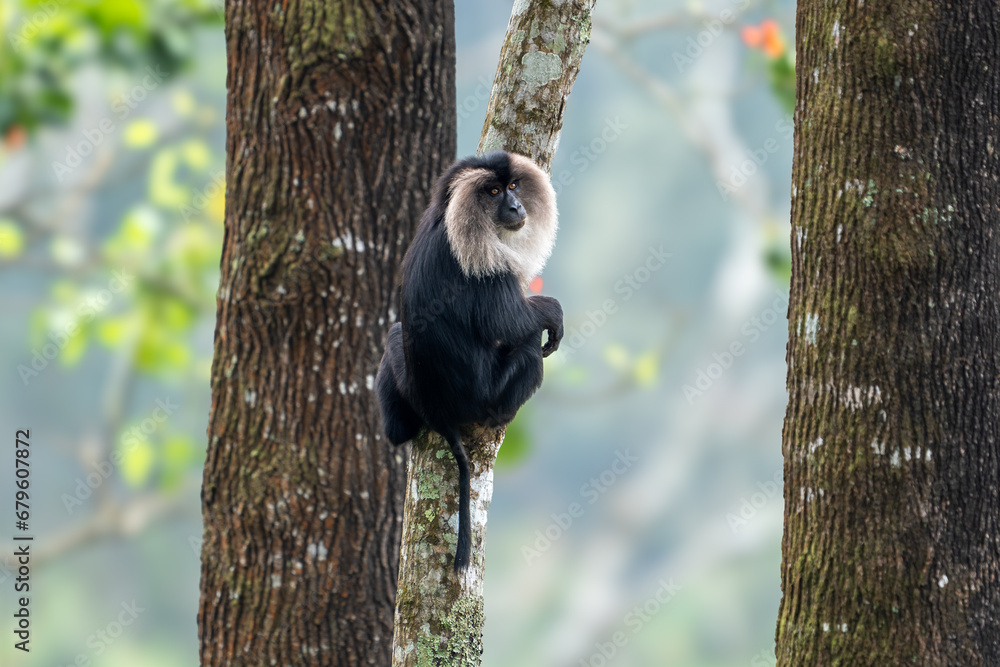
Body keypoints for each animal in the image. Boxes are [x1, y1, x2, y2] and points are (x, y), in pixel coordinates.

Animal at [375, 150, 563, 571]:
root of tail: (441, 411)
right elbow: (511, 321)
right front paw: (552, 313)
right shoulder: (484, 261)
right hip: (488, 398)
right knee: (528, 350)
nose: (516, 206)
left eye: (513, 187)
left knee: (394, 338)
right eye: (493, 192)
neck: (446, 220)